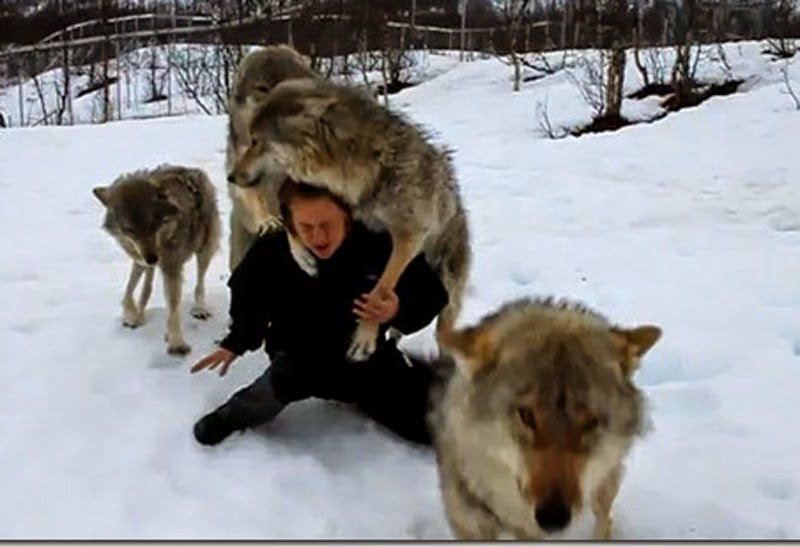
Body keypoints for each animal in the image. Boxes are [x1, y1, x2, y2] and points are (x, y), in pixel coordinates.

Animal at [92, 165, 221, 355]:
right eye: (130, 231)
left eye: (154, 225)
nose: (153, 258)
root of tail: (195, 170)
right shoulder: (139, 258)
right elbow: (128, 291)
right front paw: (131, 315)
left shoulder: (171, 266)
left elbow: (173, 308)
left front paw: (176, 342)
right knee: (146, 286)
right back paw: (140, 313)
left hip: (205, 249)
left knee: (200, 282)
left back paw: (199, 309)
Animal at [227, 75, 471, 362]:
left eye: (256, 141)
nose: (231, 177)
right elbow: (290, 223)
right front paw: (304, 258)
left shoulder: (409, 234)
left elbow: (382, 288)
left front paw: (364, 337)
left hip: (448, 293)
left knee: (442, 331)